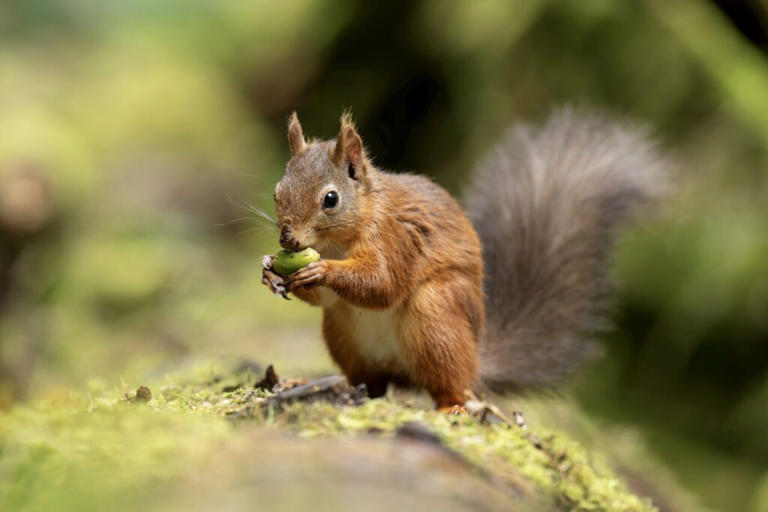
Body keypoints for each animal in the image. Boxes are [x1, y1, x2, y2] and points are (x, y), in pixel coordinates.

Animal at [261, 108, 668, 412]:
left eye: (330, 199)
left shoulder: (397, 240)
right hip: (342, 332)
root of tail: (475, 360)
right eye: (277, 192)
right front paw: (270, 271)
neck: (338, 241)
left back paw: (452, 407)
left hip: (437, 315)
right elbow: (326, 297)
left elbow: (382, 283)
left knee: (450, 384)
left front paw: (321, 270)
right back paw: (322, 384)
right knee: (372, 384)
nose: (287, 239)